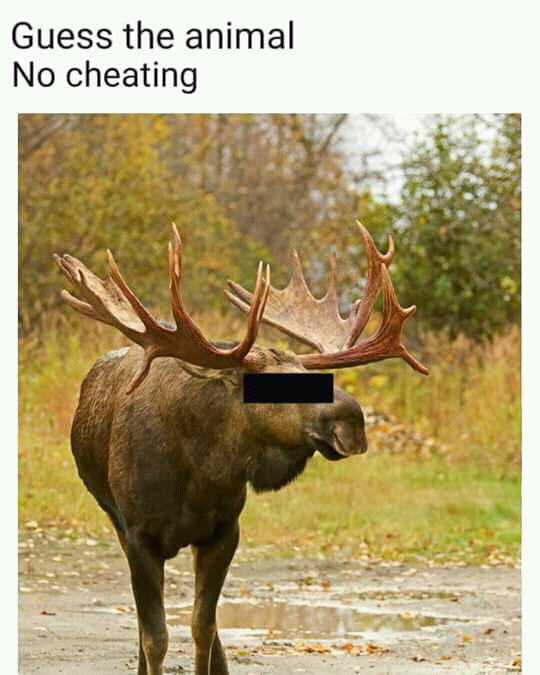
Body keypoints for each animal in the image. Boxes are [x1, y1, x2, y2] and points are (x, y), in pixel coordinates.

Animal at [54, 221, 427, 675]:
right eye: (272, 387)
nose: (353, 421)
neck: (198, 472)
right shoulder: (139, 533)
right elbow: (155, 636)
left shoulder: (225, 530)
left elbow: (203, 626)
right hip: (114, 517)